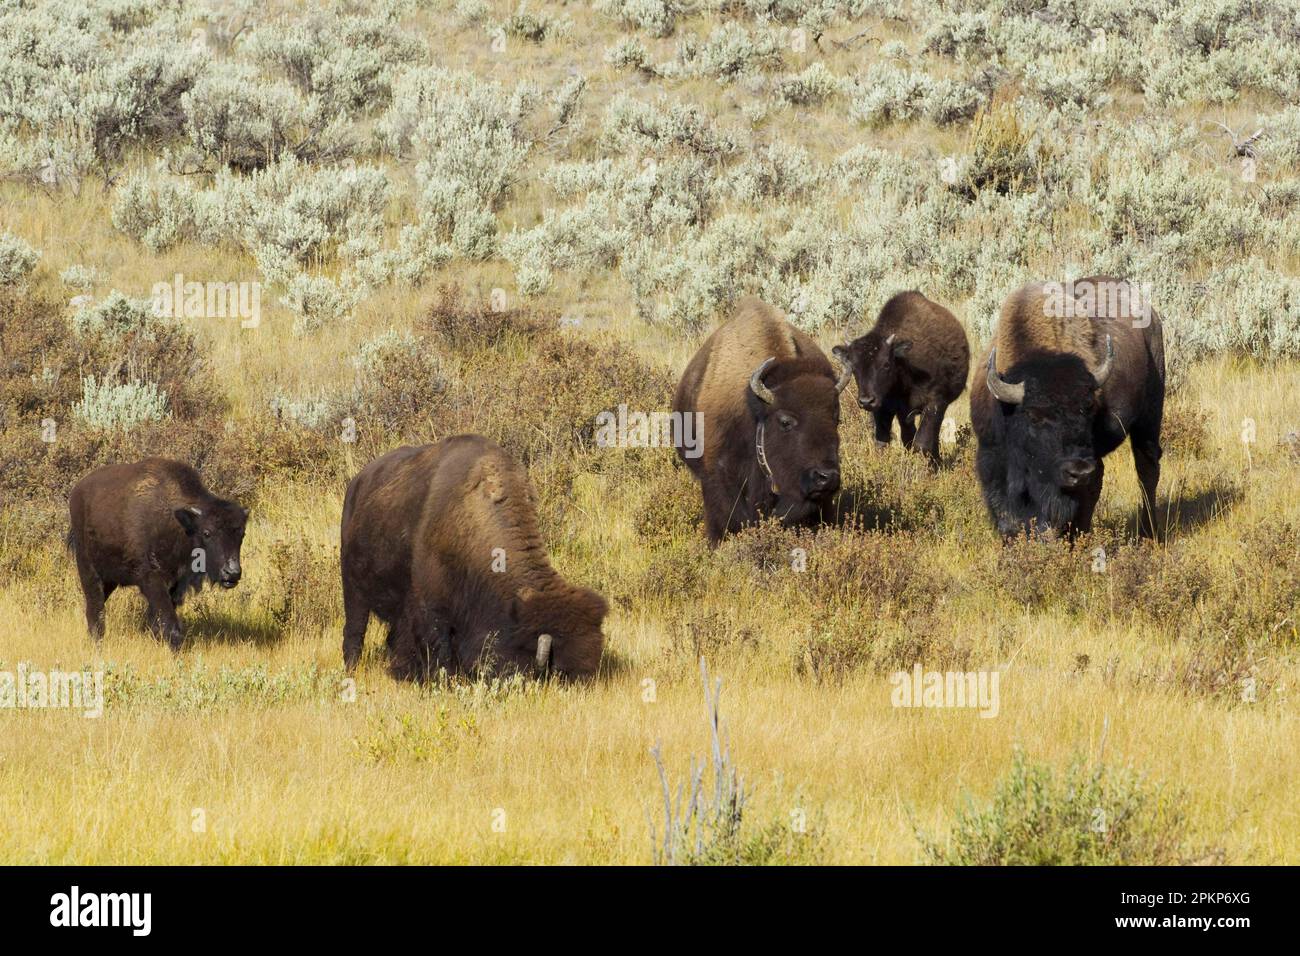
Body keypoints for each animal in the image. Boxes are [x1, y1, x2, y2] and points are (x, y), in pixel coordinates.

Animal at [67, 457, 247, 648]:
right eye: (207, 533)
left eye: (242, 534)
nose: (232, 572)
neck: (180, 524)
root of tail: (76, 493)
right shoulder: (153, 580)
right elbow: (168, 620)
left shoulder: (176, 584)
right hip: (88, 570)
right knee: (95, 608)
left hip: (110, 579)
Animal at [340, 435, 608, 681]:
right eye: (560, 671)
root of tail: (356, 483)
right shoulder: (430, 608)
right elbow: (437, 647)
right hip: (353, 589)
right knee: (355, 629)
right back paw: (353, 667)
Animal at [832, 290, 970, 466]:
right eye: (854, 367)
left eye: (886, 364)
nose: (866, 401)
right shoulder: (886, 409)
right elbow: (884, 441)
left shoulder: (935, 403)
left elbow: (922, 443)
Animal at [971, 277, 1165, 540]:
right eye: (1034, 415)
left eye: (1088, 408)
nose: (1079, 471)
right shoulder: (991, 456)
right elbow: (1006, 515)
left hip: (1149, 417)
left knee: (1146, 469)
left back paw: (1147, 533)